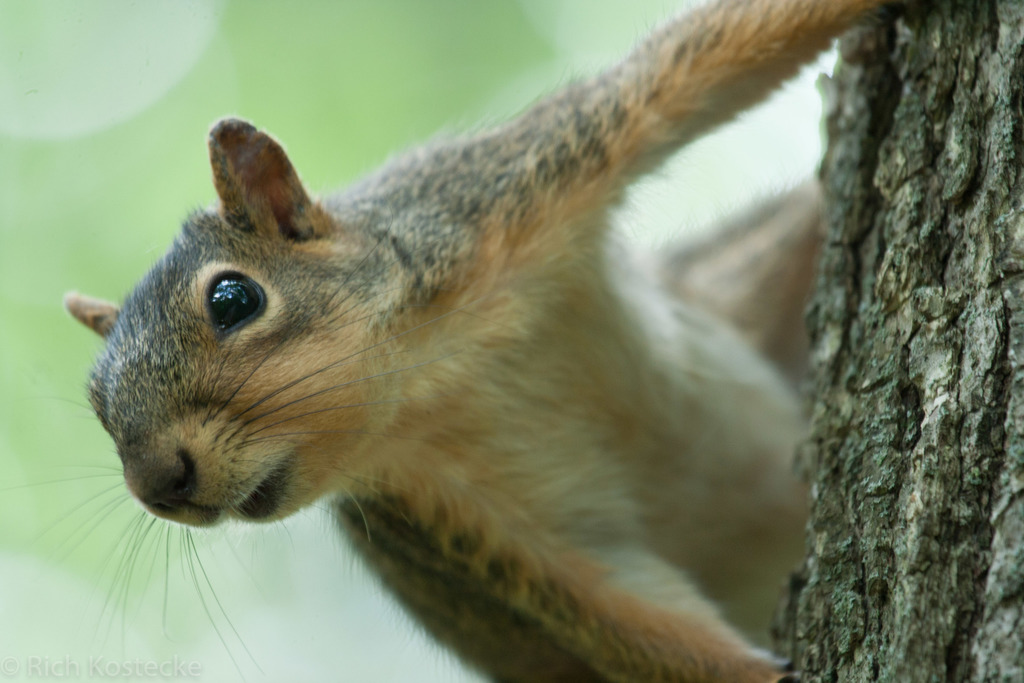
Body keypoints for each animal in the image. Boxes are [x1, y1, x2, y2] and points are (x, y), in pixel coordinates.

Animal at [64, 1, 892, 681]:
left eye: (234, 298)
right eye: (97, 404)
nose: (156, 485)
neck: (431, 378)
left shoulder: (512, 185)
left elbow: (702, 60)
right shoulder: (469, 527)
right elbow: (621, 615)